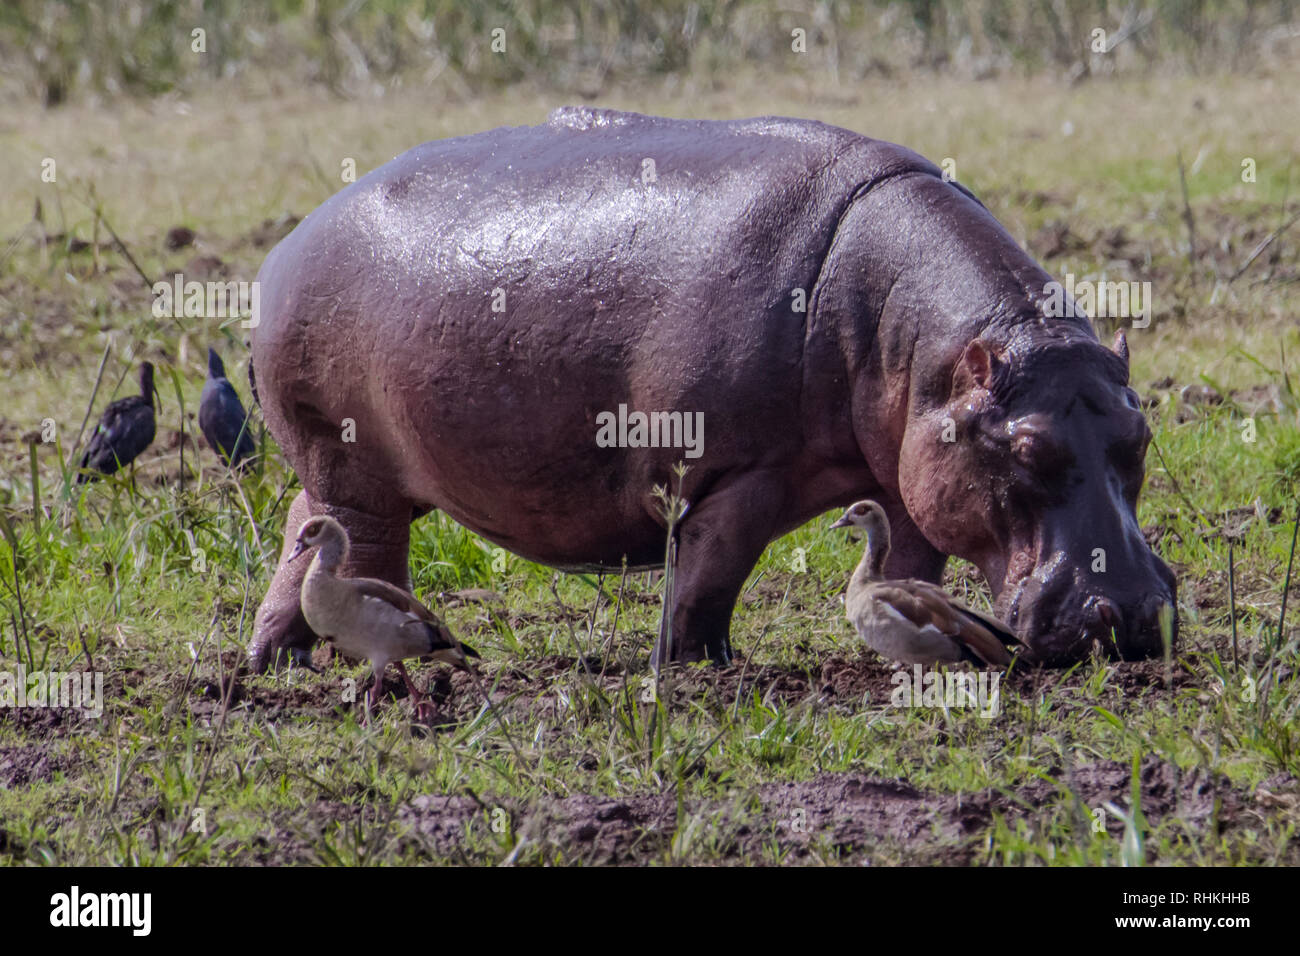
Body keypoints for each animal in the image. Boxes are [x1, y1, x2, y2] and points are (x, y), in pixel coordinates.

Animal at [247, 107, 1177, 671]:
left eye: (1139, 438)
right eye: (1026, 449)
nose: (1132, 615)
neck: (921, 346)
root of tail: (289, 240)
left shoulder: (910, 472)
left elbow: (915, 561)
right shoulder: (733, 471)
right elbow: (709, 573)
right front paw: (699, 667)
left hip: (339, 474)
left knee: (302, 530)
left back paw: (270, 662)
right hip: (354, 468)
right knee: (365, 548)